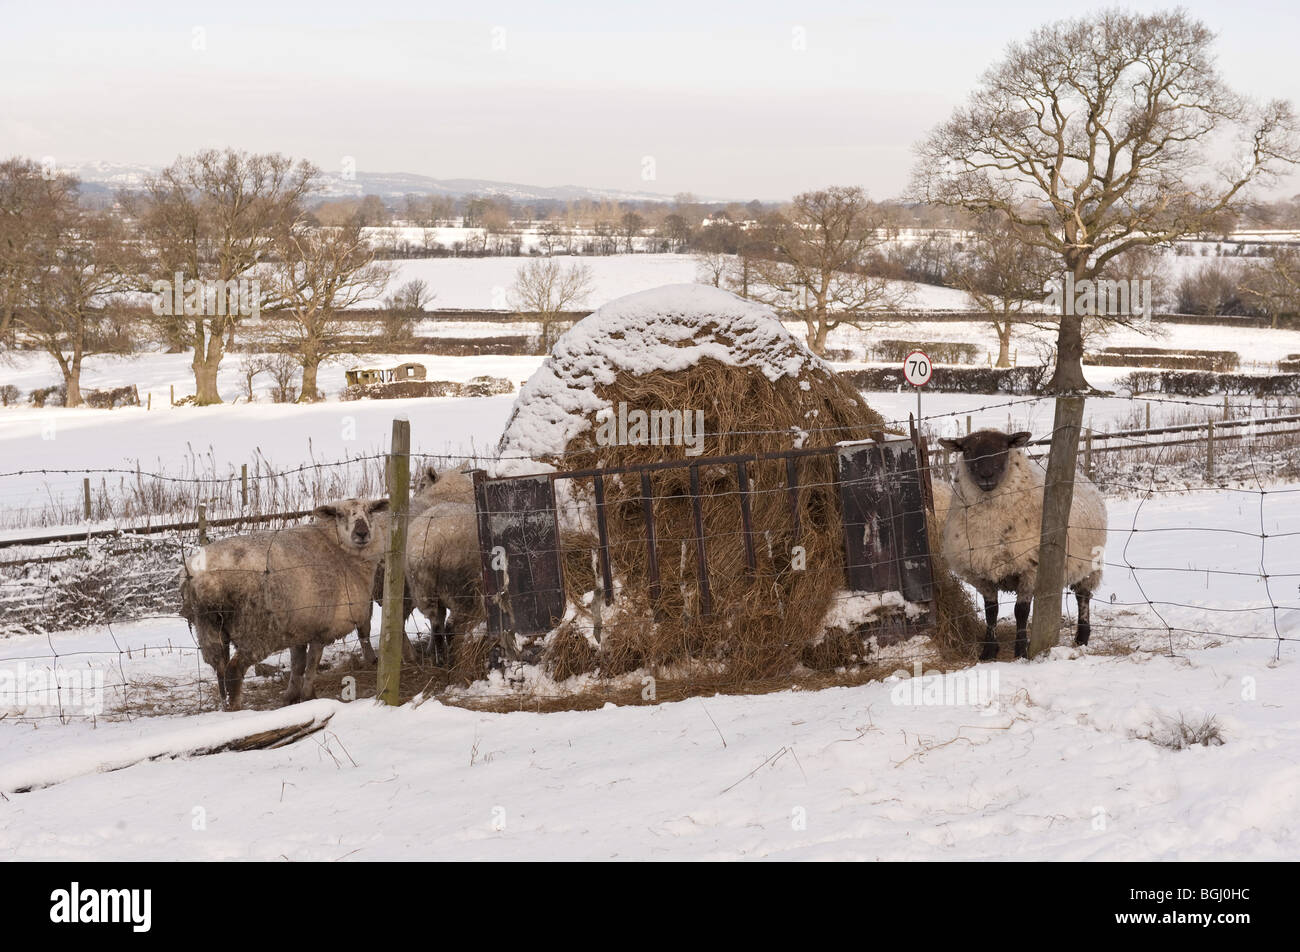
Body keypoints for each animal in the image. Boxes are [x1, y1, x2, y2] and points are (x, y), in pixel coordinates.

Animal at [180, 497, 390, 710]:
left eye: (370, 511)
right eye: (339, 514)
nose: (362, 533)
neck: (339, 550)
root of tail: (205, 580)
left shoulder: (298, 629)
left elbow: (298, 665)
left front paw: (291, 696)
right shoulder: (321, 628)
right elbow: (312, 664)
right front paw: (308, 696)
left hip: (208, 627)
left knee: (220, 669)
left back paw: (225, 706)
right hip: (254, 630)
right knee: (234, 671)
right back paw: (236, 709)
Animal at [938, 429, 1106, 660]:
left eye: (1003, 448)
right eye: (967, 450)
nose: (986, 476)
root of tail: (1083, 477)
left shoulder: (1030, 569)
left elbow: (1021, 611)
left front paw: (1021, 650)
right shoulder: (980, 572)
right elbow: (991, 611)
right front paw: (988, 651)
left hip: (1089, 565)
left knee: (1083, 596)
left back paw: (1082, 637)